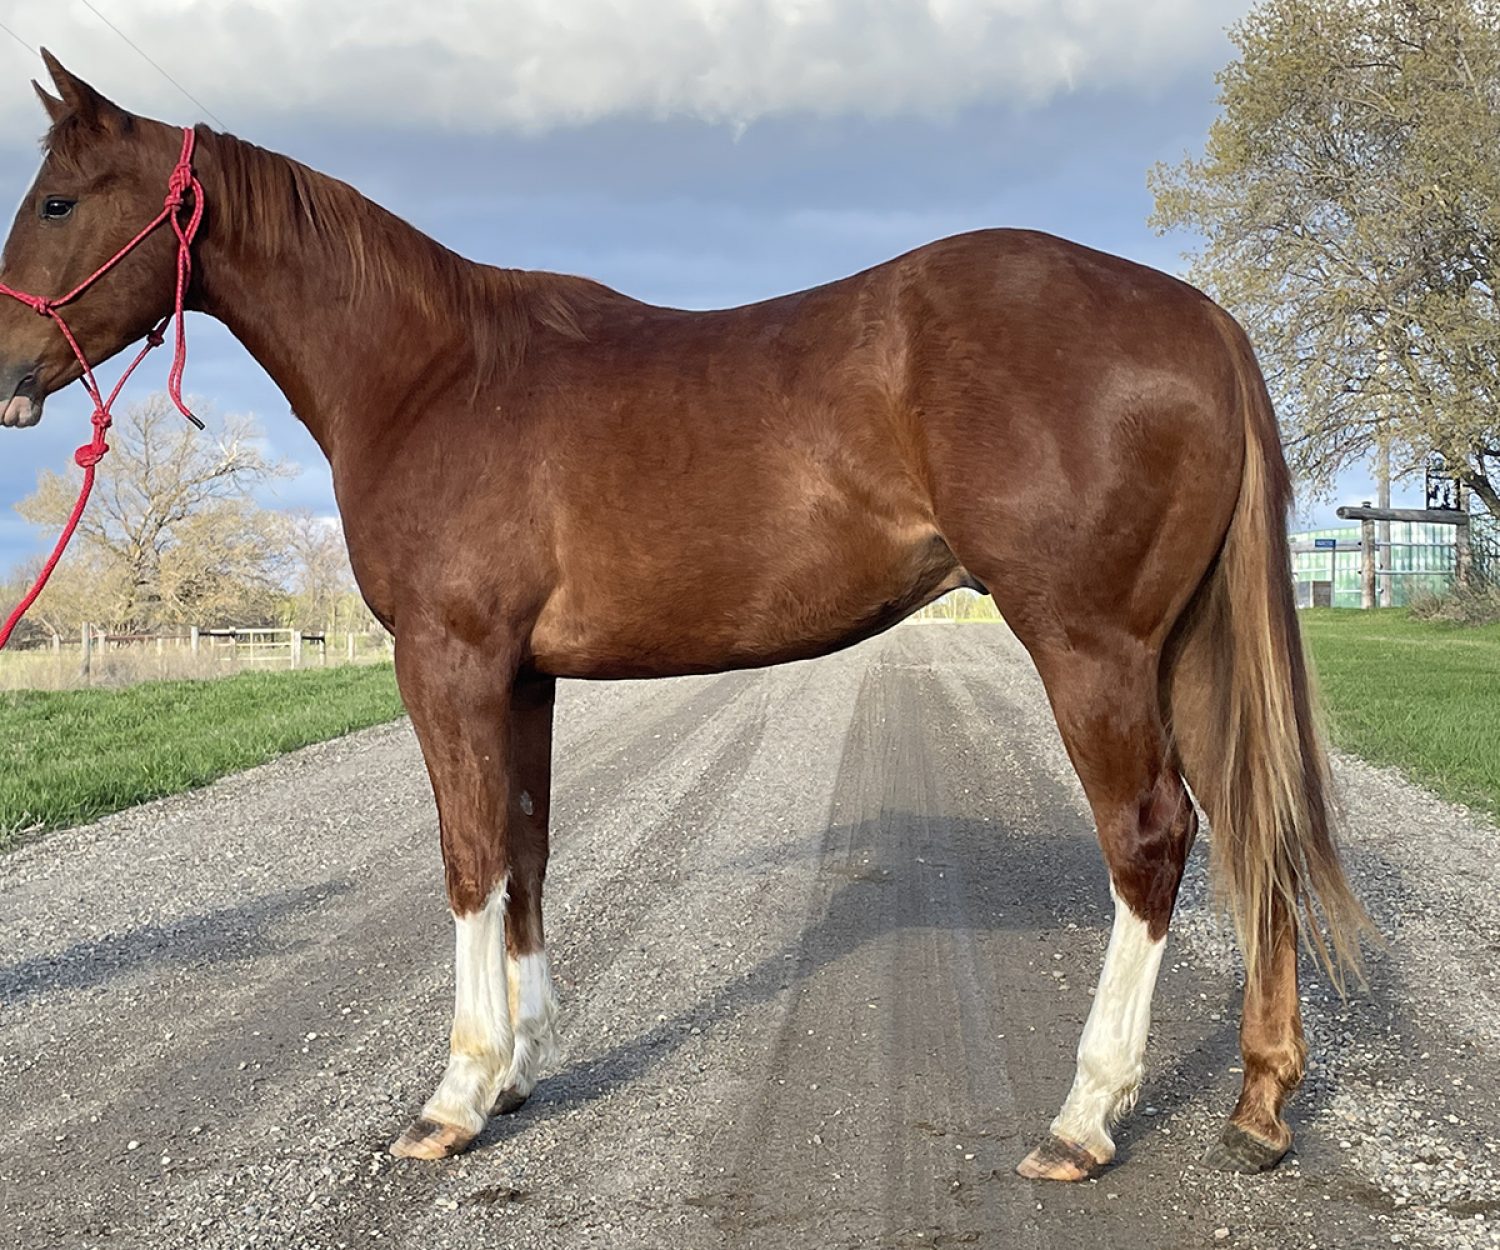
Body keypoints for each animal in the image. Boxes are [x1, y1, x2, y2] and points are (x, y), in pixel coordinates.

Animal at [0, 53, 1367, 1178]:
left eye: (60, 199)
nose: (6, 368)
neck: (436, 375)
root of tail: (1200, 316)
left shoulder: (449, 661)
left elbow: (467, 856)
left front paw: (454, 1094)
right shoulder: (521, 675)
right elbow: (529, 846)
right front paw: (522, 1068)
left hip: (1091, 646)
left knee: (1153, 837)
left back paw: (1085, 1117)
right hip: (1181, 651)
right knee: (1254, 828)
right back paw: (1258, 1105)